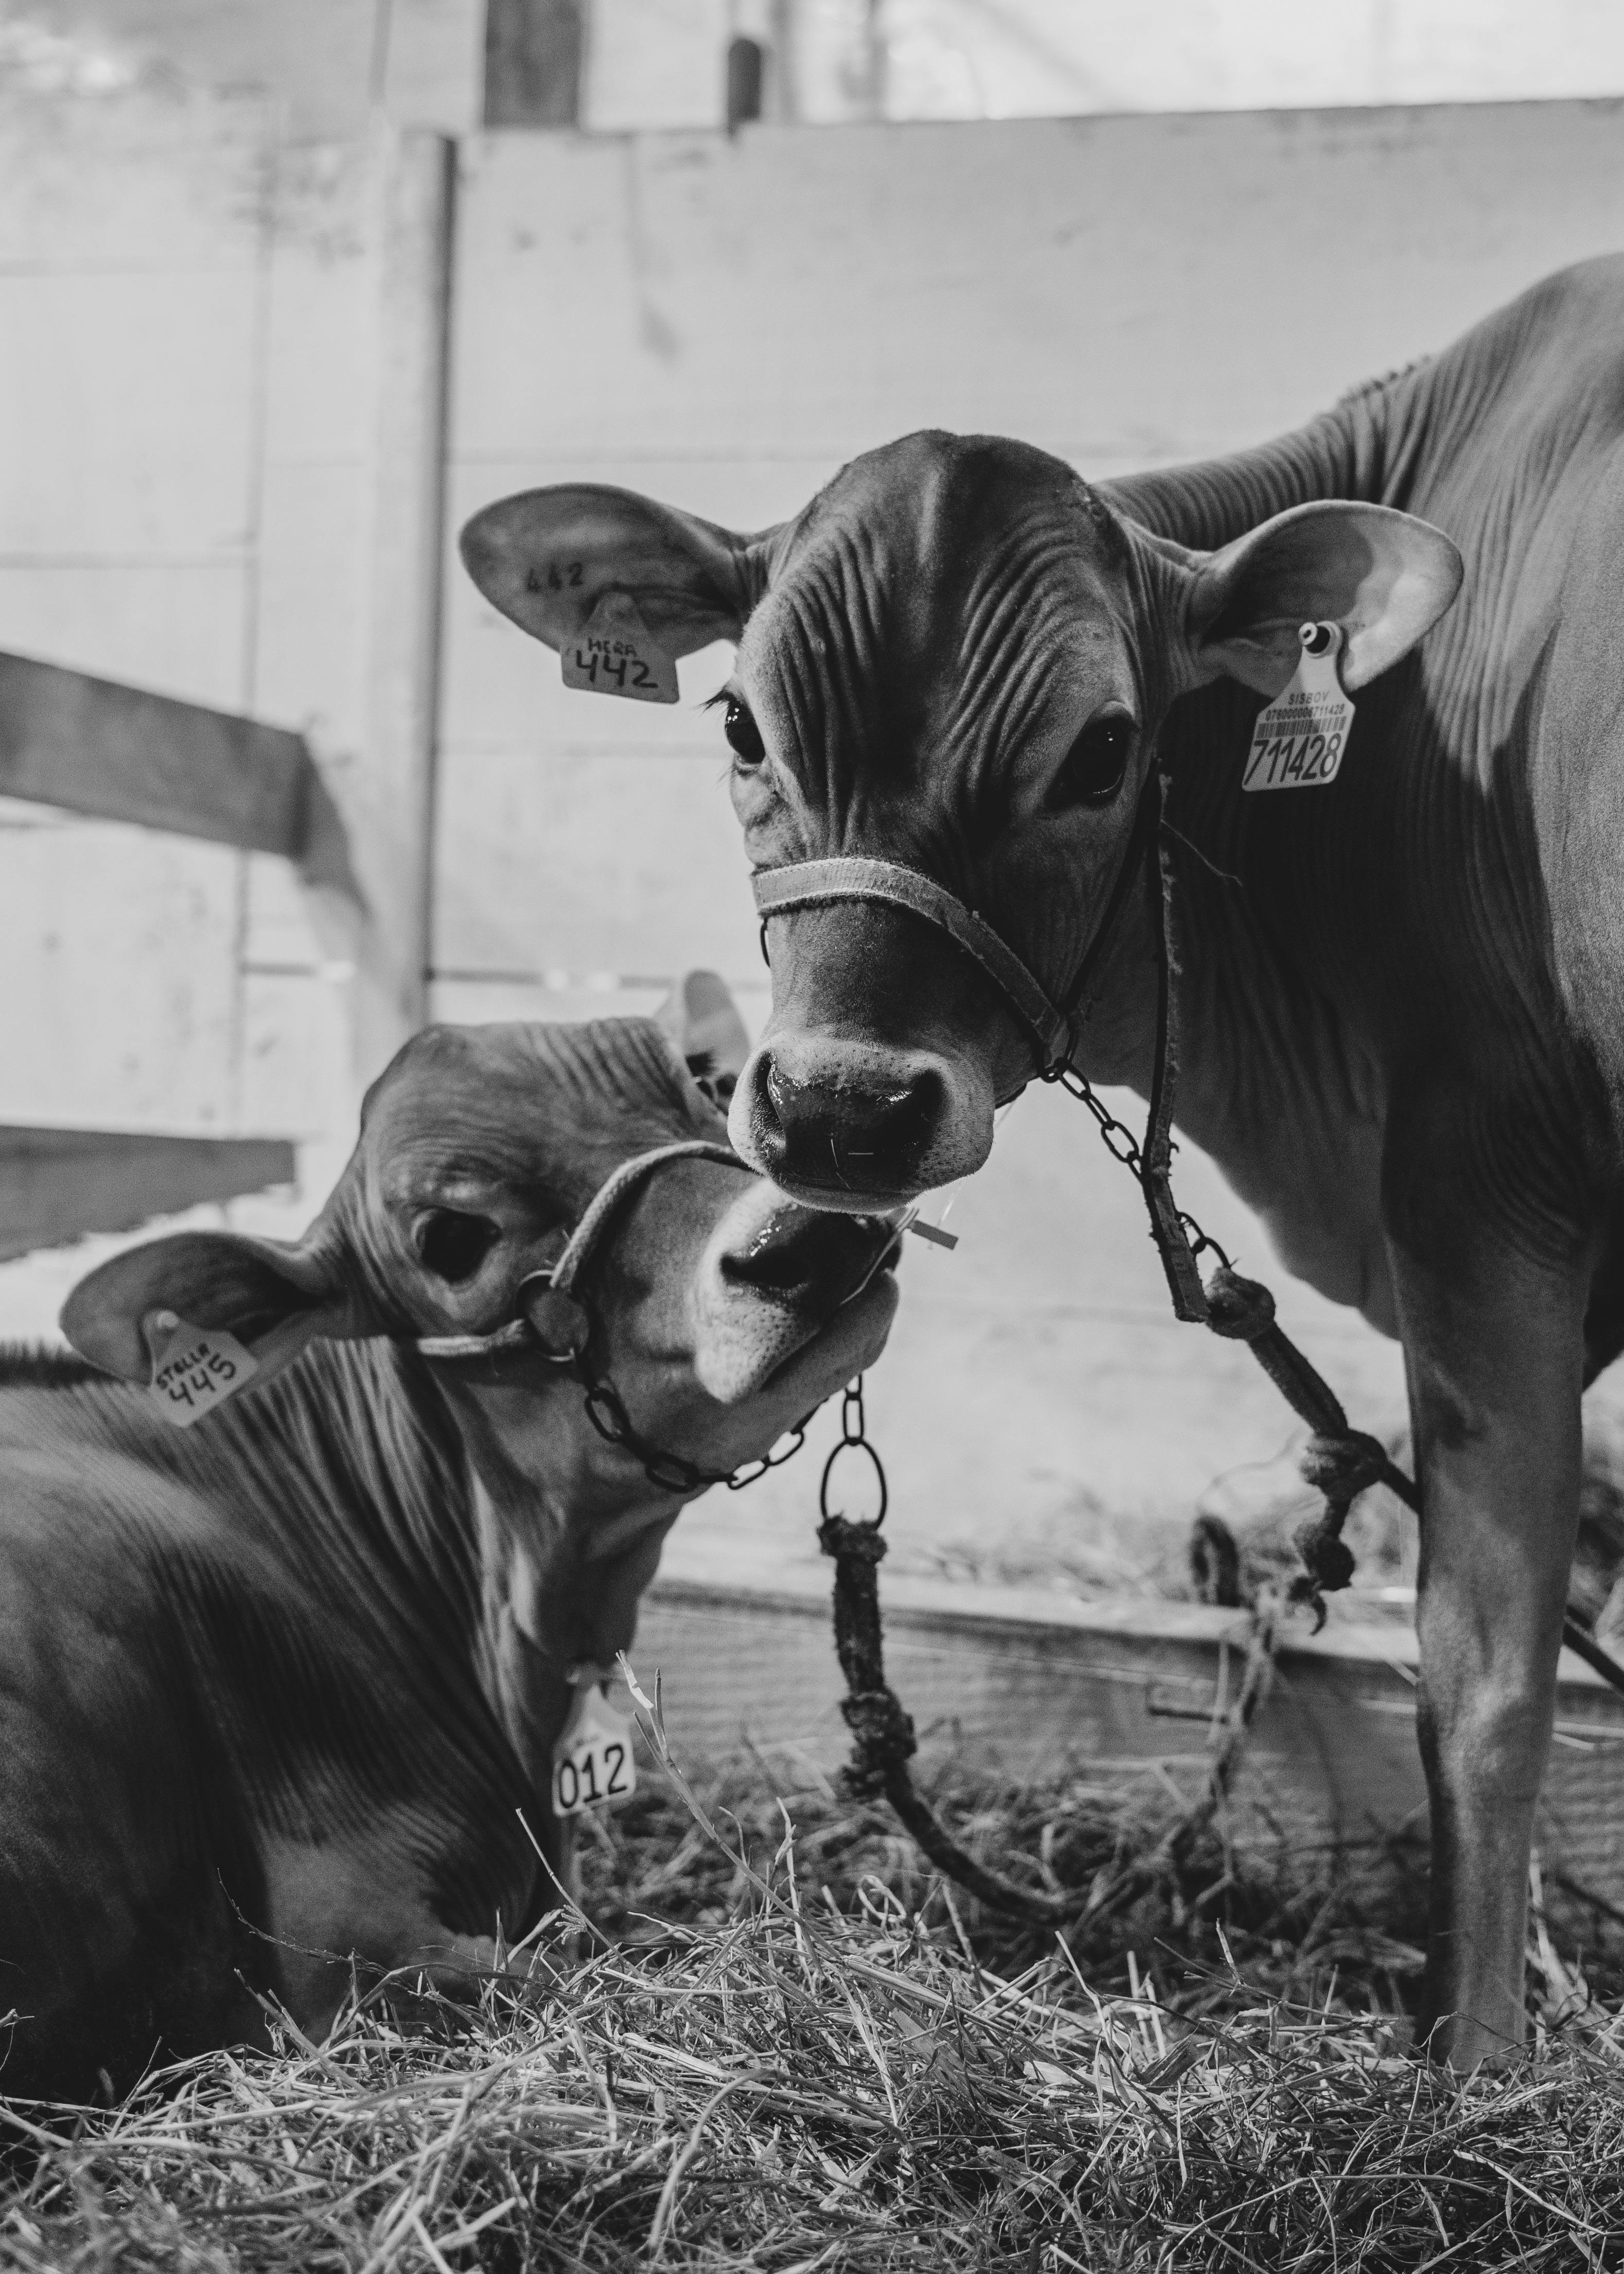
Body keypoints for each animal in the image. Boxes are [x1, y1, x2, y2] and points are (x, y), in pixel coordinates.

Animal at [460, 256, 1624, 2065]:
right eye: (739, 723)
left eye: (1098, 750)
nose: (839, 1107)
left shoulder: (1481, 1182)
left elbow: (1484, 1679)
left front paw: (1478, 2066)